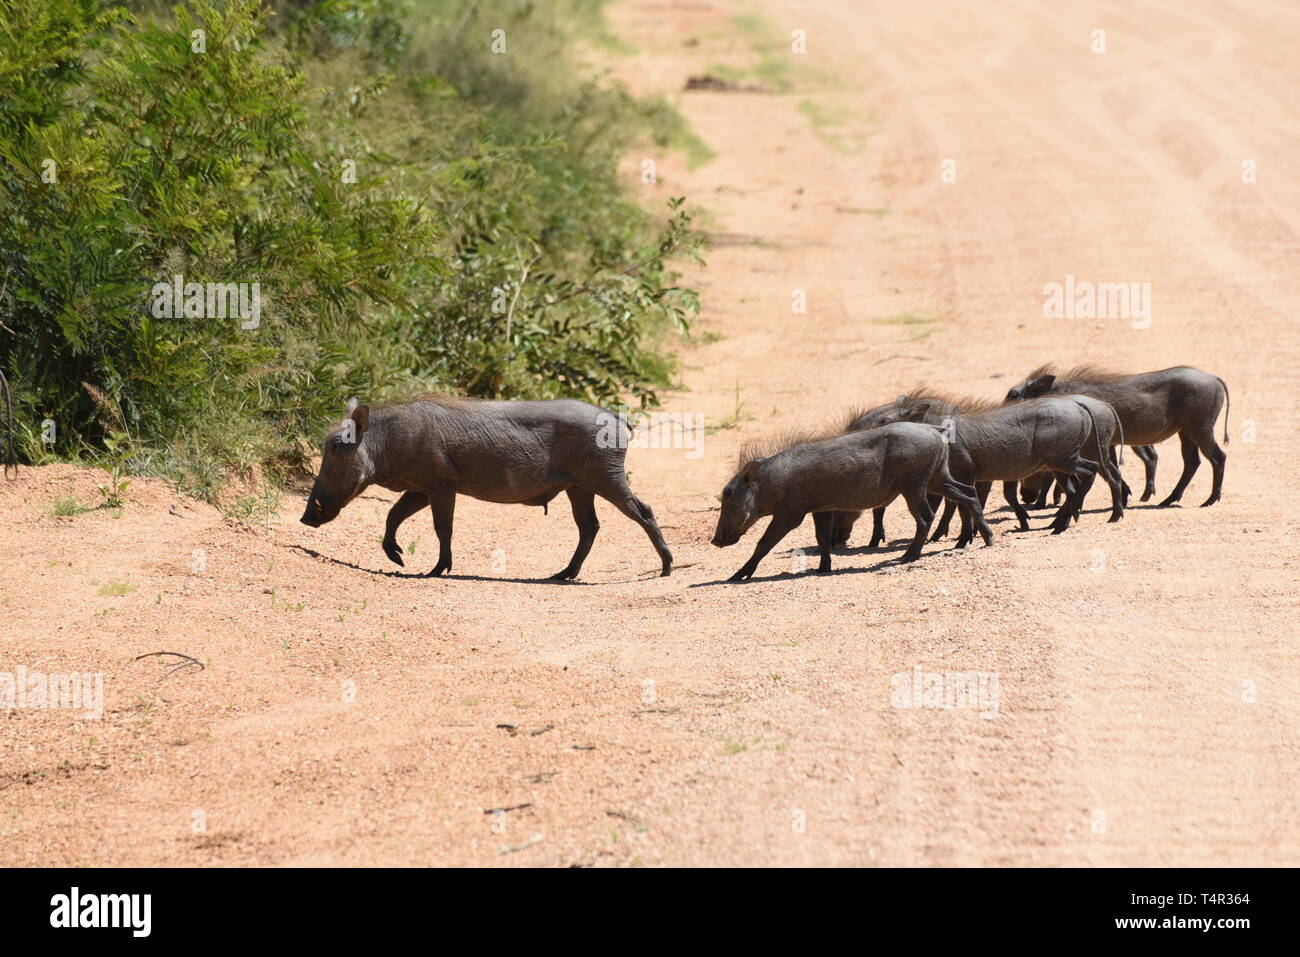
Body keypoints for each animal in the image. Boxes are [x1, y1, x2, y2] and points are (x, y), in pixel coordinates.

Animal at [300, 397, 673, 579]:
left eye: (337, 447)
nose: (306, 518)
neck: (388, 441)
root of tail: (618, 419)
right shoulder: (422, 488)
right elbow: (393, 516)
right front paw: (397, 556)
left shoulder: (439, 486)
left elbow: (442, 528)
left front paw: (436, 570)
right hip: (579, 487)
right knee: (589, 527)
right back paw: (563, 574)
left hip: (606, 478)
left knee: (643, 513)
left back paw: (667, 568)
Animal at [710, 421, 992, 581]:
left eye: (728, 492)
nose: (714, 541)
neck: (768, 482)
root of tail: (937, 432)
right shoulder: (821, 510)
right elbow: (822, 539)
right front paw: (824, 569)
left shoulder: (788, 516)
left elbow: (763, 544)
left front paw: (738, 575)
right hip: (937, 478)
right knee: (968, 494)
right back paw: (987, 539)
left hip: (914, 485)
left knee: (925, 517)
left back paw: (907, 558)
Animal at [1006, 365, 1229, 506]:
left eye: (1013, 395)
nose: (1026, 497)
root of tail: (1214, 378)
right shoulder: (1106, 444)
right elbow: (1110, 467)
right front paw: (1124, 497)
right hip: (1186, 432)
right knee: (1192, 462)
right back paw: (1167, 501)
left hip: (1201, 428)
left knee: (1218, 457)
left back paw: (1210, 501)